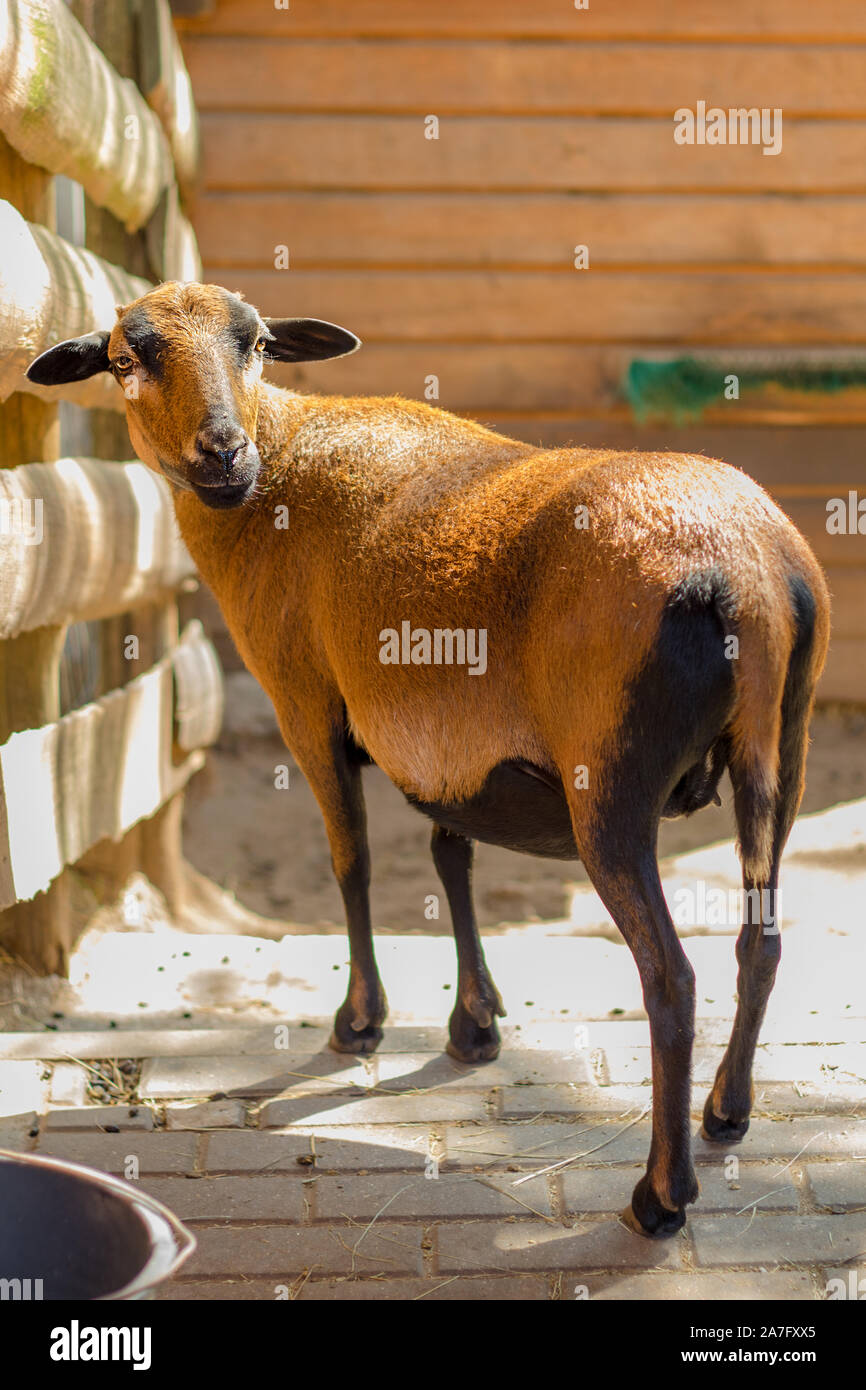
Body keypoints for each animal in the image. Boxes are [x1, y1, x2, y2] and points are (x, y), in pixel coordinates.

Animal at [28, 282, 830, 1237]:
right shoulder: (453, 753)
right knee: (761, 942)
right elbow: (452, 858)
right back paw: (727, 1113)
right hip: (781, 750)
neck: (280, 470)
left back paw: (660, 1196)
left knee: (670, 977)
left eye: (255, 344)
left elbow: (353, 861)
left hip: (611, 782)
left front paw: (360, 1022)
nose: (223, 454)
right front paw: (474, 1022)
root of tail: (744, 570)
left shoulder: (305, 701)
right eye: (125, 359)